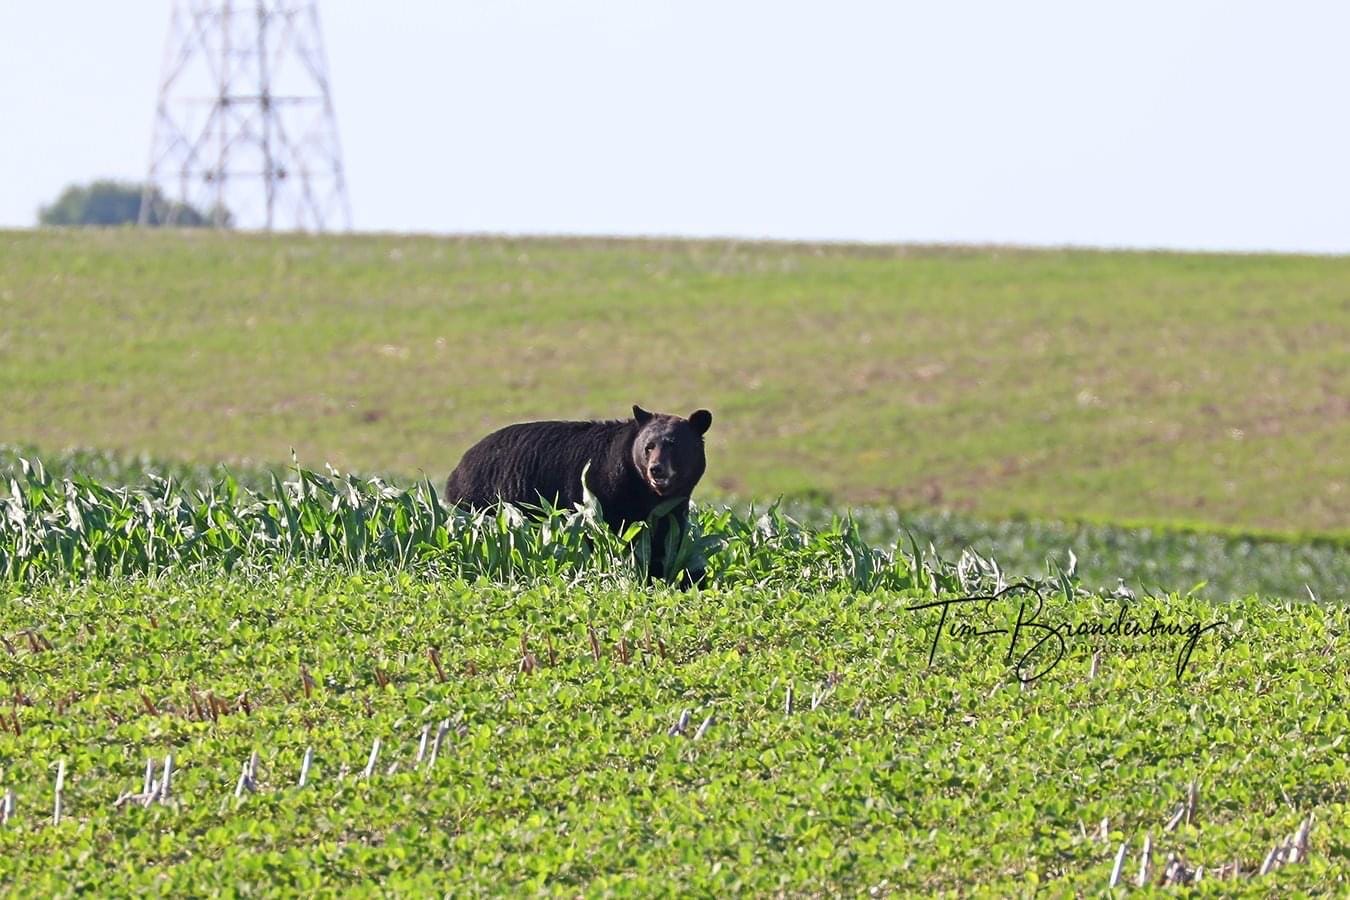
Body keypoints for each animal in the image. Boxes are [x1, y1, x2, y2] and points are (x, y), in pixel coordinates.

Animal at [443, 405, 713, 581]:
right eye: (649, 447)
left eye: (673, 445)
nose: (656, 469)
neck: (644, 491)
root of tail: (458, 467)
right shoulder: (598, 496)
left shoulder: (672, 510)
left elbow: (667, 543)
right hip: (480, 501)